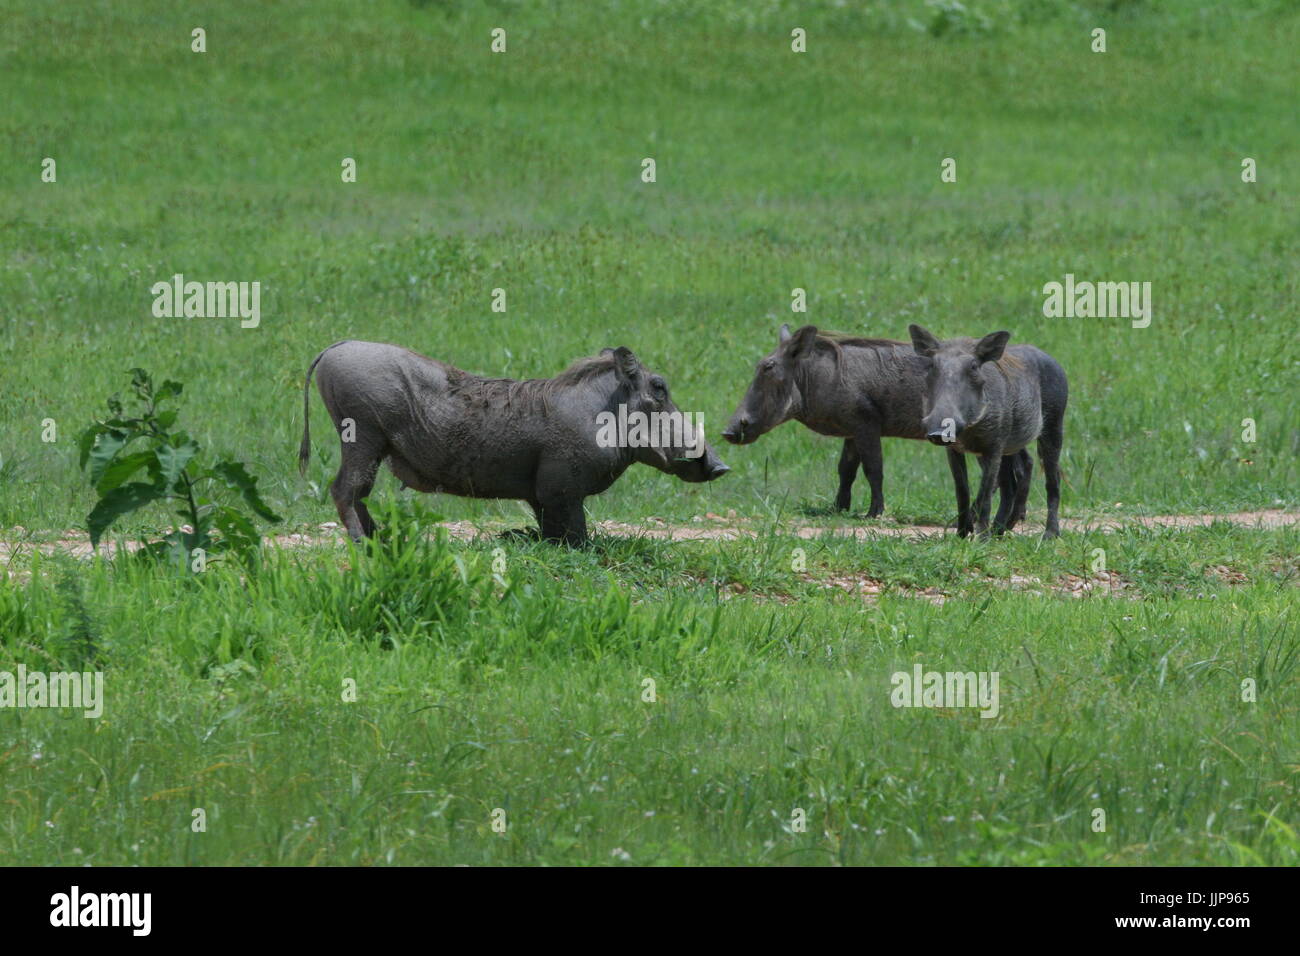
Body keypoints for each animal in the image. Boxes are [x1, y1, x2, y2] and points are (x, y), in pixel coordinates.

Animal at [298, 340, 729, 545]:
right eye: (659, 389)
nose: (721, 465)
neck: (603, 411)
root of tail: (336, 346)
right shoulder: (563, 492)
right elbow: (578, 539)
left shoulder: (542, 496)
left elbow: (554, 534)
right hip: (362, 436)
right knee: (345, 490)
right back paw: (363, 544)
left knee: (357, 493)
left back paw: (381, 540)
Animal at [721, 324, 1029, 531]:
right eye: (760, 366)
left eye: (768, 368)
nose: (728, 432)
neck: (817, 377)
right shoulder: (851, 431)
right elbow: (846, 471)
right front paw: (838, 509)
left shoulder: (866, 425)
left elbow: (873, 469)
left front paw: (873, 513)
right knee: (1020, 468)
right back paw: (1009, 521)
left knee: (1006, 475)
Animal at [907, 325, 1068, 538]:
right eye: (932, 365)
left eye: (974, 367)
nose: (938, 431)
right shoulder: (955, 450)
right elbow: (962, 490)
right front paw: (961, 535)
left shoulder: (993, 448)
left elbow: (985, 493)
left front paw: (981, 539)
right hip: (1009, 448)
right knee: (1012, 481)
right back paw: (999, 530)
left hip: (1053, 429)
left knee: (1052, 480)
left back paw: (1050, 534)